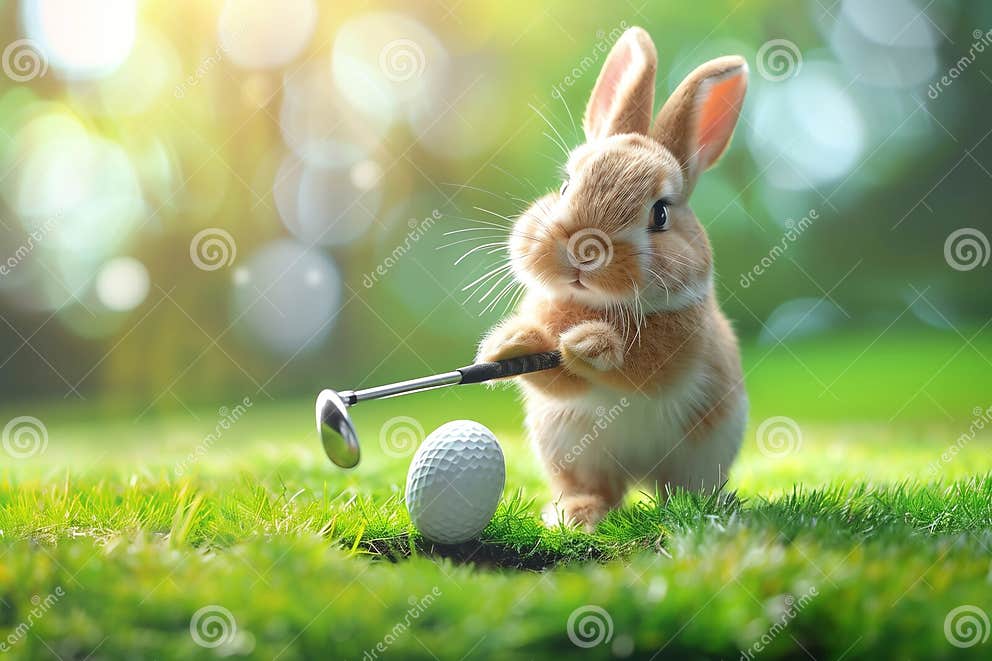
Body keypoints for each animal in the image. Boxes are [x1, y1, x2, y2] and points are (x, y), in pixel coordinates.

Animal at [475, 27, 749, 530]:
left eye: (660, 214)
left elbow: (638, 368)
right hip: (570, 450)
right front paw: (513, 344)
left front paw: (589, 344)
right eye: (566, 186)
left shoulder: (677, 351)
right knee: (599, 489)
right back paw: (578, 514)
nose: (585, 249)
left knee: (680, 492)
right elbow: (557, 380)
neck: (599, 305)